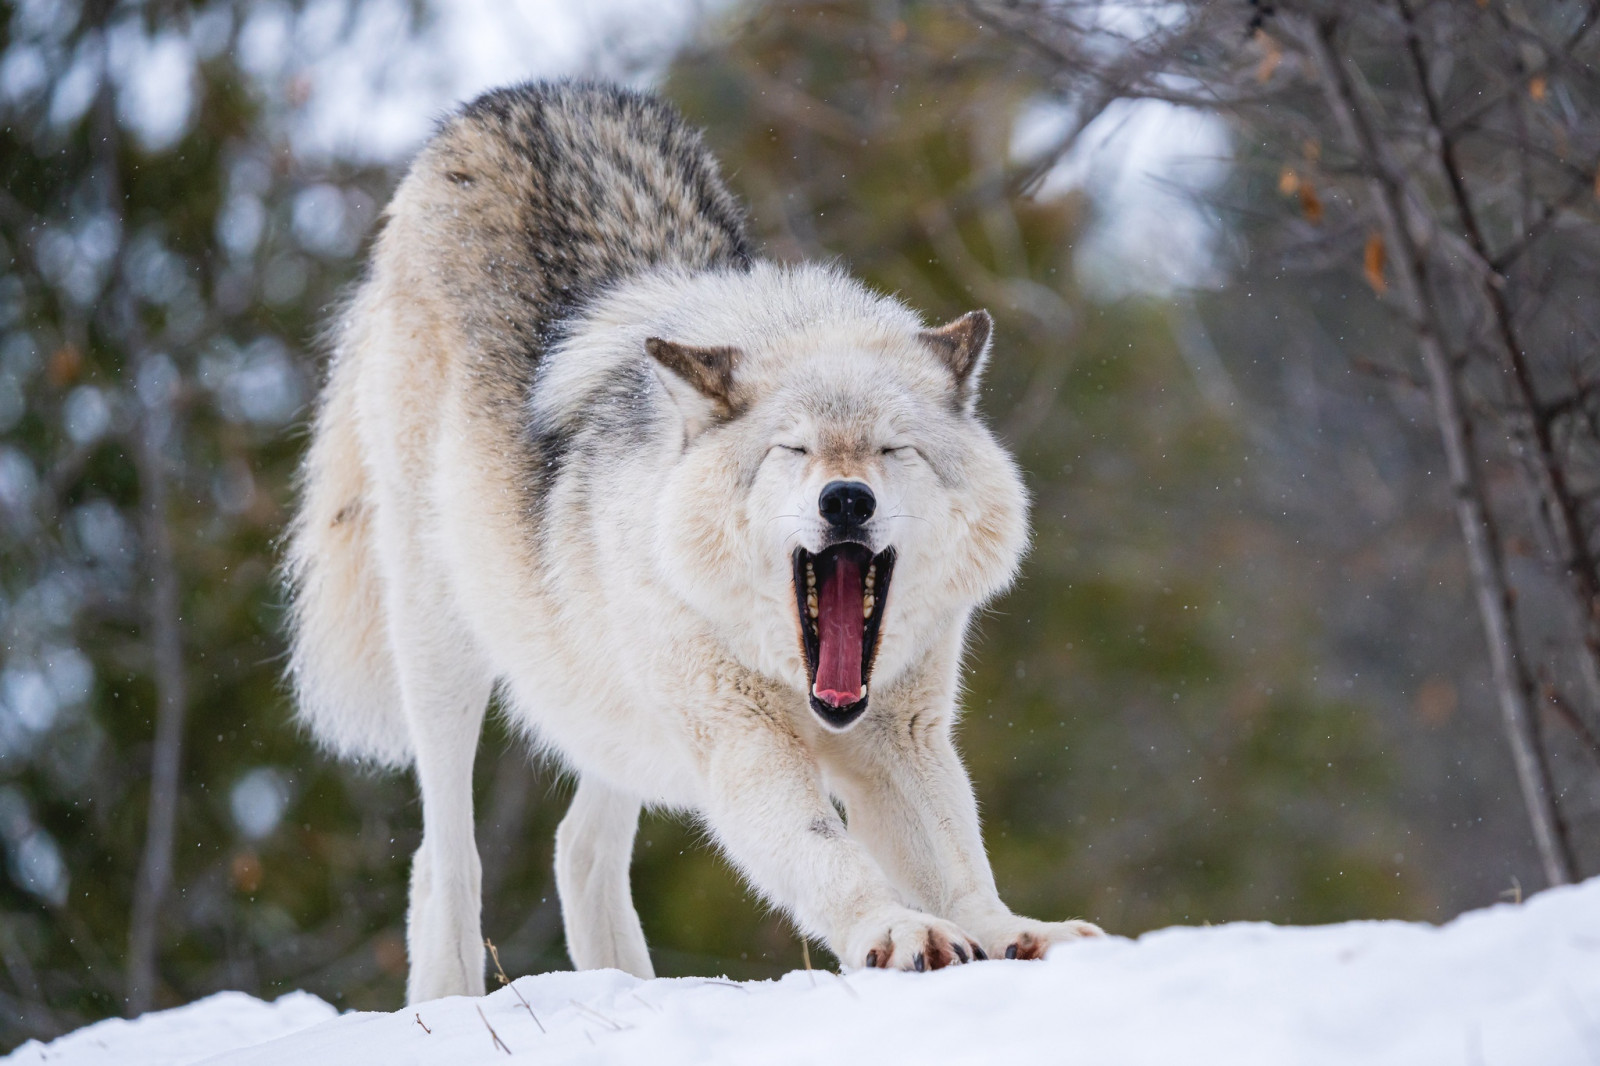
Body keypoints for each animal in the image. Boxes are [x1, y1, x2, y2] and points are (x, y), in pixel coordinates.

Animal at [285, 80, 1101, 1003]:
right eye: (794, 449)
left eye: (894, 449)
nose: (847, 501)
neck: (795, 675)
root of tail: (512, 99)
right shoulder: (741, 736)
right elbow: (827, 849)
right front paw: (894, 930)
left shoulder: (902, 733)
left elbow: (960, 860)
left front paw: (1014, 933)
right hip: (445, 644)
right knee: (443, 855)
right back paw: (449, 998)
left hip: (610, 707)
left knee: (579, 847)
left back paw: (632, 991)